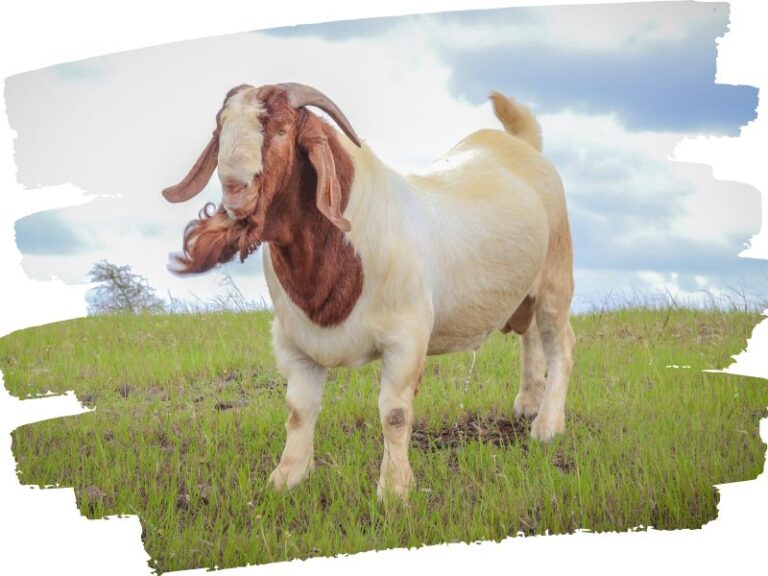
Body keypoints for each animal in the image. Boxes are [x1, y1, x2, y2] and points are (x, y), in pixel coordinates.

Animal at [162, 83, 575, 499]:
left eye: (281, 130)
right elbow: (298, 411)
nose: (235, 190)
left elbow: (394, 414)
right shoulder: (294, 342)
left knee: (560, 341)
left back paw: (547, 426)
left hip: (556, 278)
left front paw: (394, 489)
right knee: (530, 336)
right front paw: (287, 478)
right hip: (524, 292)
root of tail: (522, 145)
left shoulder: (407, 338)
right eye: (221, 129)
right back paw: (527, 403)